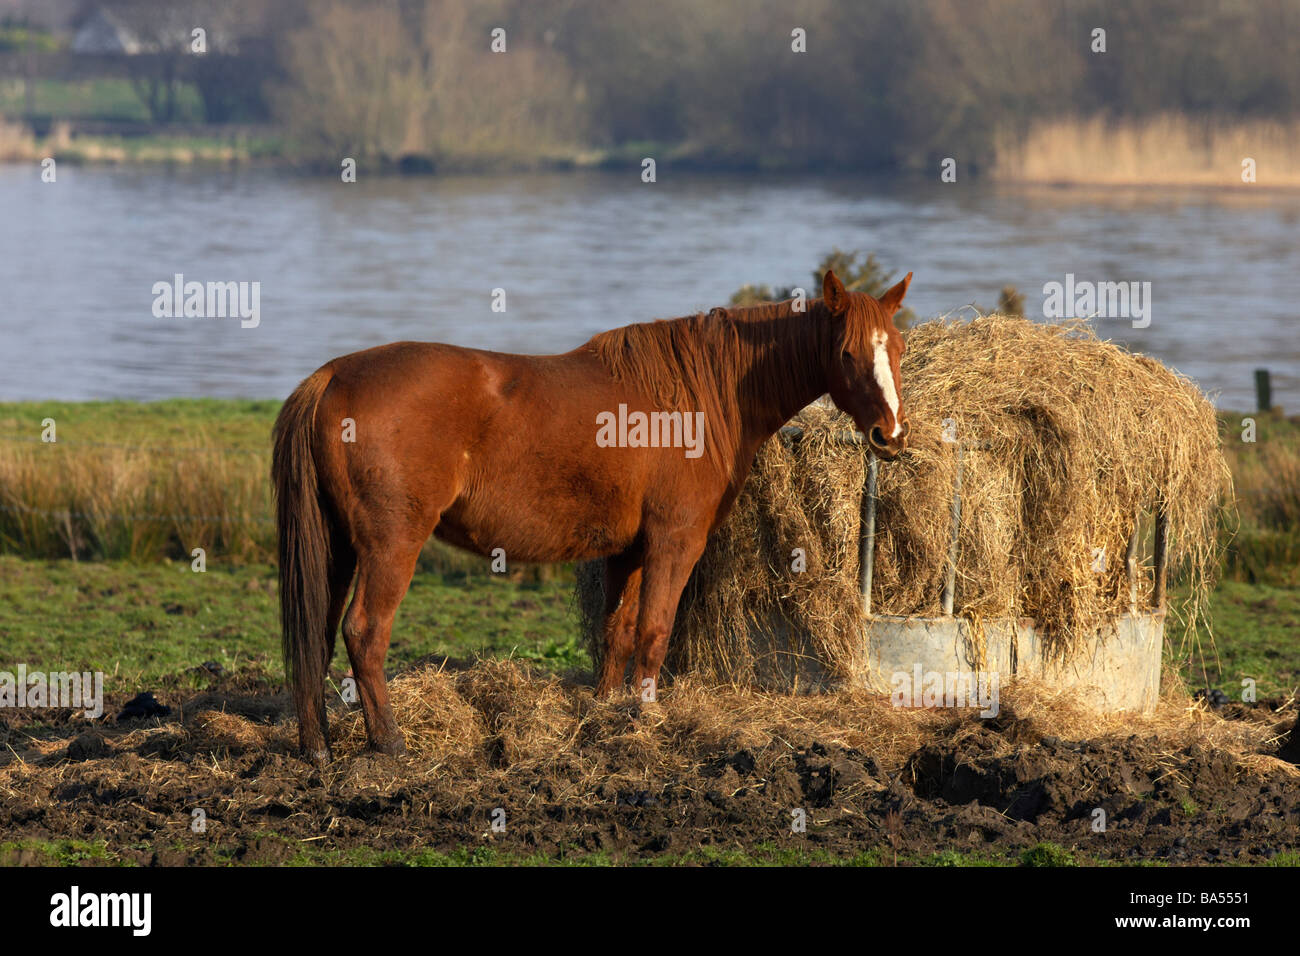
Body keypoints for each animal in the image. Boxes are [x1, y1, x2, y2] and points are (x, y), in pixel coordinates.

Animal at [273, 268, 913, 763]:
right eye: (846, 352)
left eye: (898, 349)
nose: (891, 435)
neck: (702, 392)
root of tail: (333, 377)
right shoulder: (674, 542)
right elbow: (654, 633)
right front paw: (648, 718)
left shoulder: (629, 550)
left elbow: (618, 634)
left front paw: (609, 715)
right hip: (390, 546)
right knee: (364, 633)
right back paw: (389, 743)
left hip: (338, 549)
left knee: (320, 636)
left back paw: (318, 747)